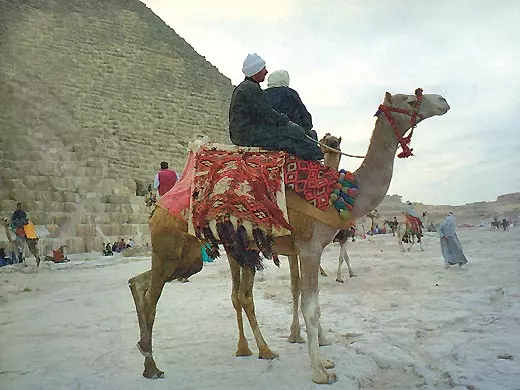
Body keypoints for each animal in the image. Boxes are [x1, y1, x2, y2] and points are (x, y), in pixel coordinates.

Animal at [128, 88, 448, 384]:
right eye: (410, 100)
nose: (443, 101)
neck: (337, 194)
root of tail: (158, 205)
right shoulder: (310, 248)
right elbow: (311, 306)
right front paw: (320, 370)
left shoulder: (300, 251)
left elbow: (307, 297)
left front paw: (323, 356)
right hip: (173, 249)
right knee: (154, 297)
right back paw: (152, 364)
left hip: (195, 256)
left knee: (145, 284)